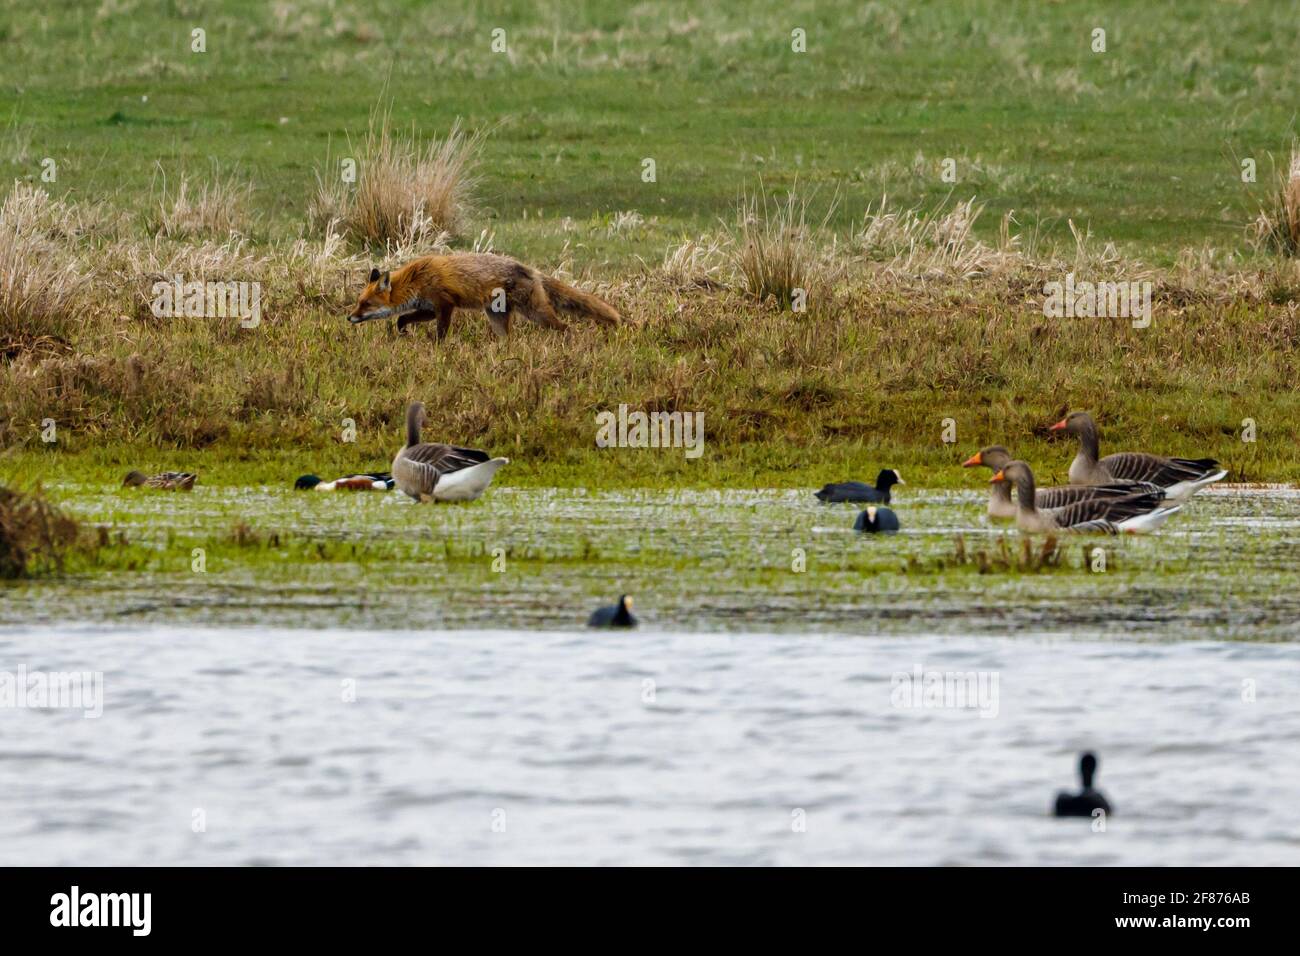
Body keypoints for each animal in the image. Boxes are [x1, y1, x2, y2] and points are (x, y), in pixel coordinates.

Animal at [347, 252, 620, 340]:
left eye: (366, 304)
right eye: (358, 302)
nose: (349, 318)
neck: (416, 278)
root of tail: (530, 269)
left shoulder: (444, 304)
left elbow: (441, 331)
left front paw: (438, 347)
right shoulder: (428, 307)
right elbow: (402, 318)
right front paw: (403, 330)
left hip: (537, 313)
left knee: (565, 328)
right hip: (496, 317)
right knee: (508, 339)